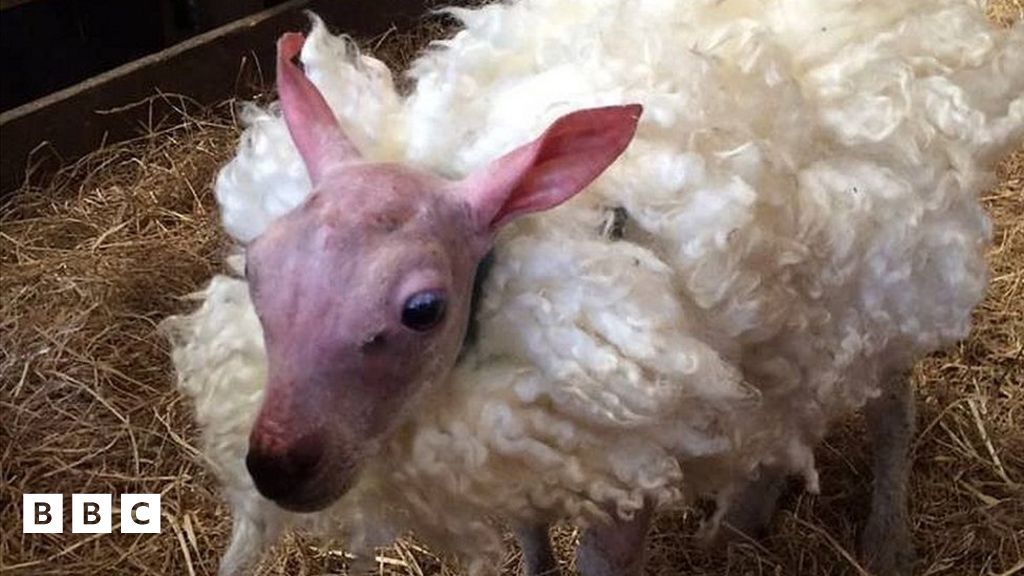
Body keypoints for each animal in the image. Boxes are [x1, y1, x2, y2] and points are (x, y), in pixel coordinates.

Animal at [162, 1, 1024, 575]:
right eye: (260, 267)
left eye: (422, 310)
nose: (276, 466)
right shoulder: (527, 450)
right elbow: (531, 547)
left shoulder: (625, 465)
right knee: (782, 414)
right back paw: (744, 514)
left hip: (890, 280)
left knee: (892, 402)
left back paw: (886, 536)